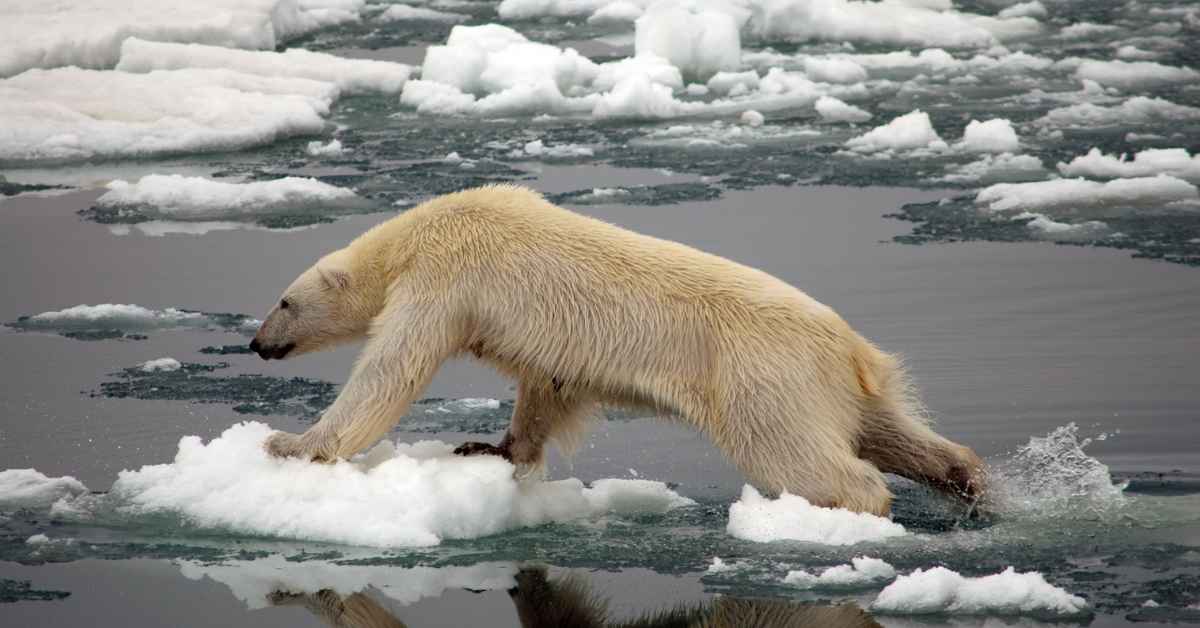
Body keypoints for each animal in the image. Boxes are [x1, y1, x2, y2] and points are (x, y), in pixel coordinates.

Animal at [250, 184, 984, 516]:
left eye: (284, 302)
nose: (256, 344)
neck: (423, 229)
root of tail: (854, 348)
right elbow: (546, 385)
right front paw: (490, 447)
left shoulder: (446, 277)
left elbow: (390, 369)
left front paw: (291, 443)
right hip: (841, 384)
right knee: (894, 432)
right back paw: (967, 479)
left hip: (764, 376)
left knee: (799, 452)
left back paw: (850, 505)